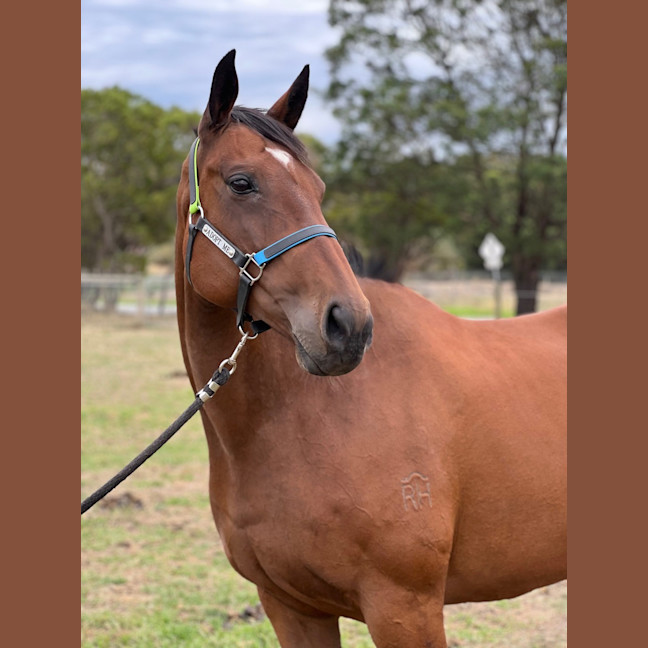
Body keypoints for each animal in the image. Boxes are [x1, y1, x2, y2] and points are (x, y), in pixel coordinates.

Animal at [174, 50, 566, 648]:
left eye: (318, 188)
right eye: (242, 182)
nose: (348, 326)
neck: (298, 420)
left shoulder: (404, 607)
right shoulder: (291, 607)